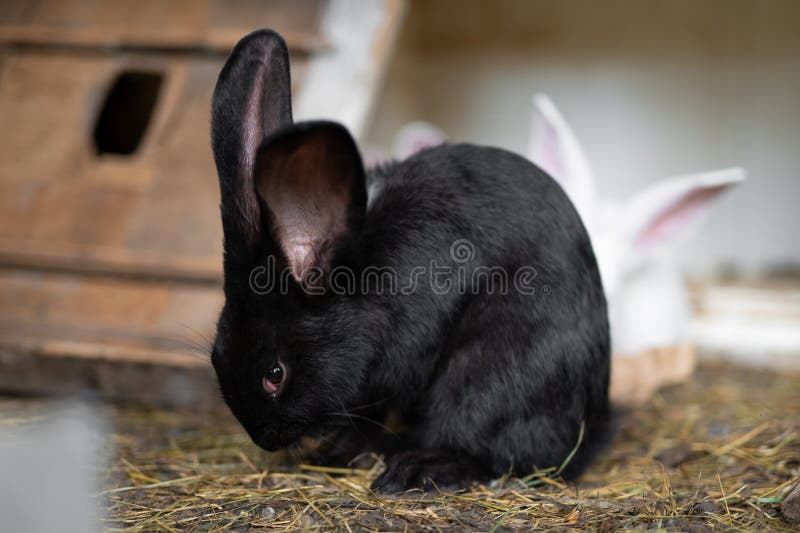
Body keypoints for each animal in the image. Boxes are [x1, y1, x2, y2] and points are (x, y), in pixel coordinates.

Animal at [209, 29, 612, 493]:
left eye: (274, 374)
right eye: (216, 353)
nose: (265, 437)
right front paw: (337, 450)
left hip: (489, 377)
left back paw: (417, 469)